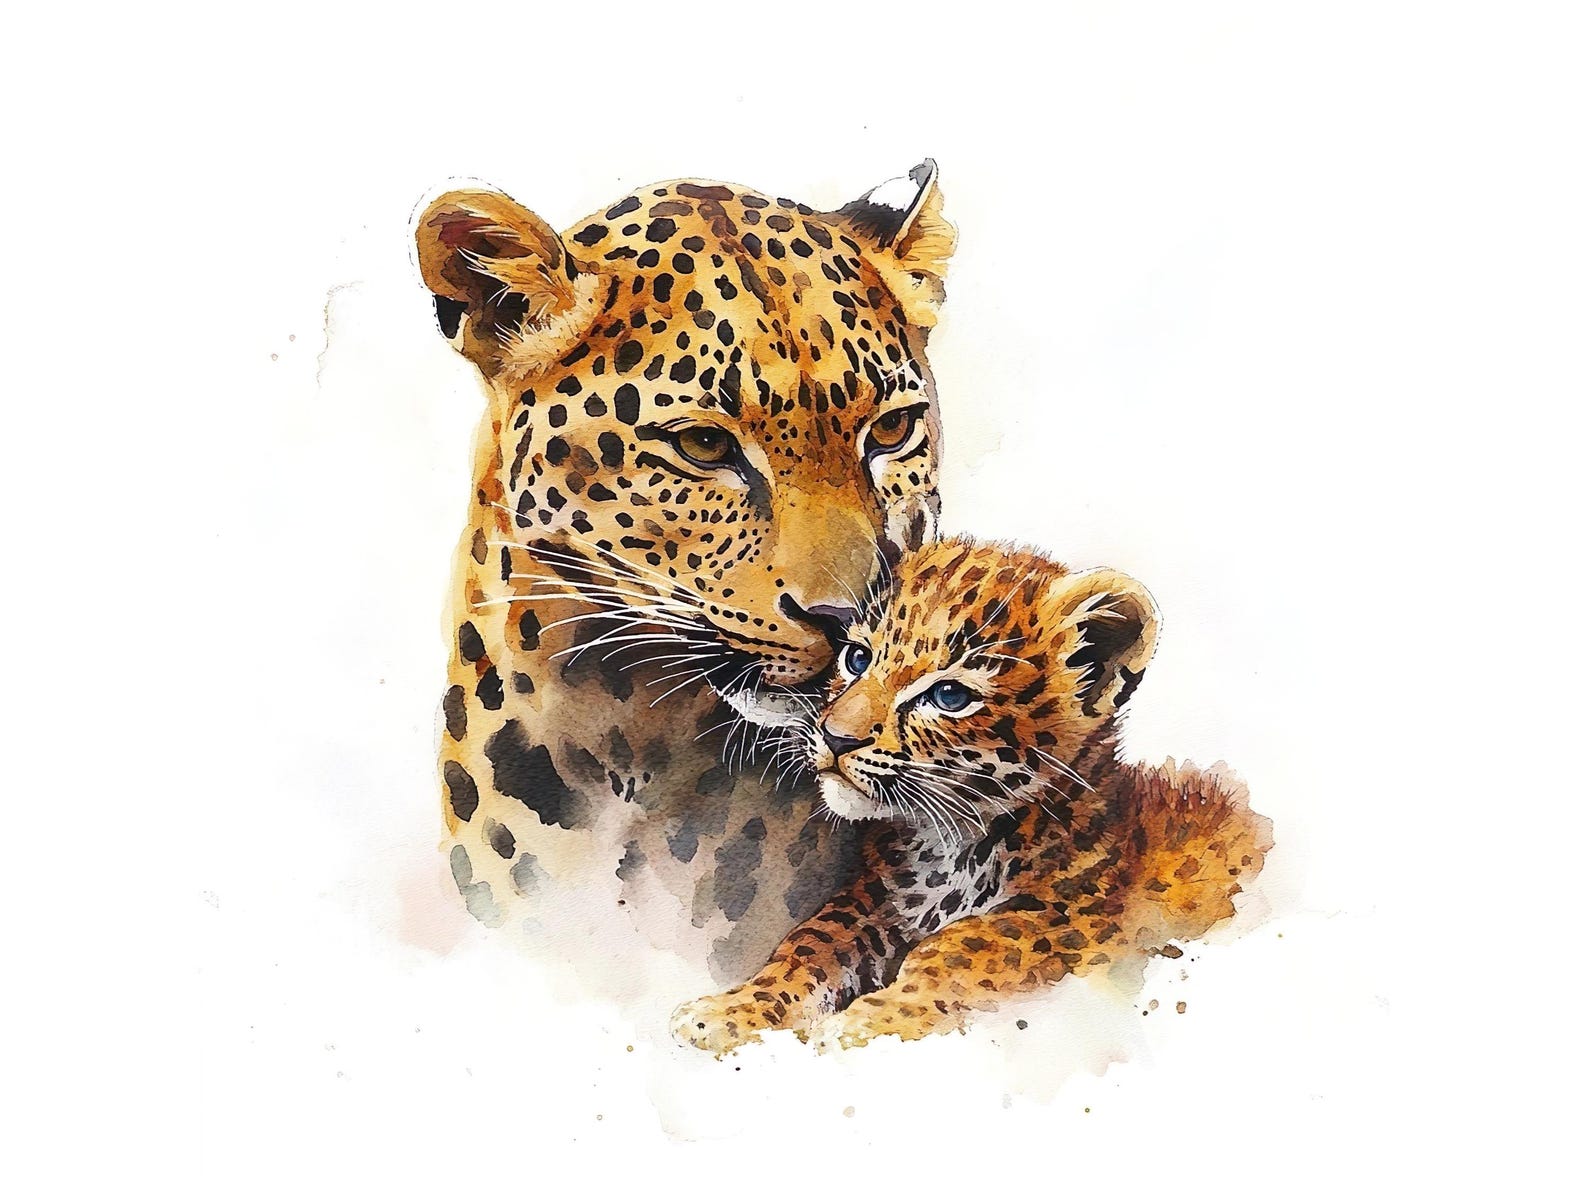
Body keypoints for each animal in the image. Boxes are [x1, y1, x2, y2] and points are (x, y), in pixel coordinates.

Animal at [672, 536, 1272, 1051]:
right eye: (857, 659)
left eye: (949, 696)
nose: (835, 736)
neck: (946, 849)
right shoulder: (875, 902)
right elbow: (811, 941)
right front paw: (731, 1010)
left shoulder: (1079, 919)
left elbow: (971, 946)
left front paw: (867, 1024)